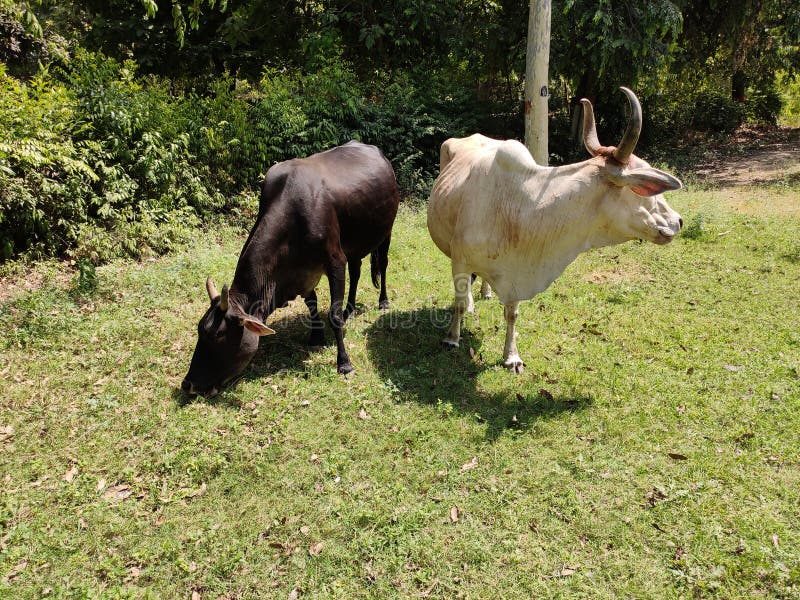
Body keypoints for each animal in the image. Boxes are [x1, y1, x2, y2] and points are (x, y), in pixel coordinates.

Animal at [182, 141, 400, 396]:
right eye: (199, 329)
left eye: (218, 335)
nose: (188, 384)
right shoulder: (303, 272)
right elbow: (312, 304)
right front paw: (316, 336)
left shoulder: (335, 261)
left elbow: (333, 316)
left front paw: (344, 363)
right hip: (355, 244)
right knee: (356, 271)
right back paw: (350, 309)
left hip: (387, 230)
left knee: (382, 264)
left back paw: (382, 301)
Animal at [427, 87, 683, 373]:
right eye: (642, 189)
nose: (678, 221)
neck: (519, 208)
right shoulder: (460, 260)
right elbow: (459, 303)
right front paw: (452, 338)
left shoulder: (516, 272)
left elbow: (512, 314)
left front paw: (512, 356)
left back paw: (486, 291)